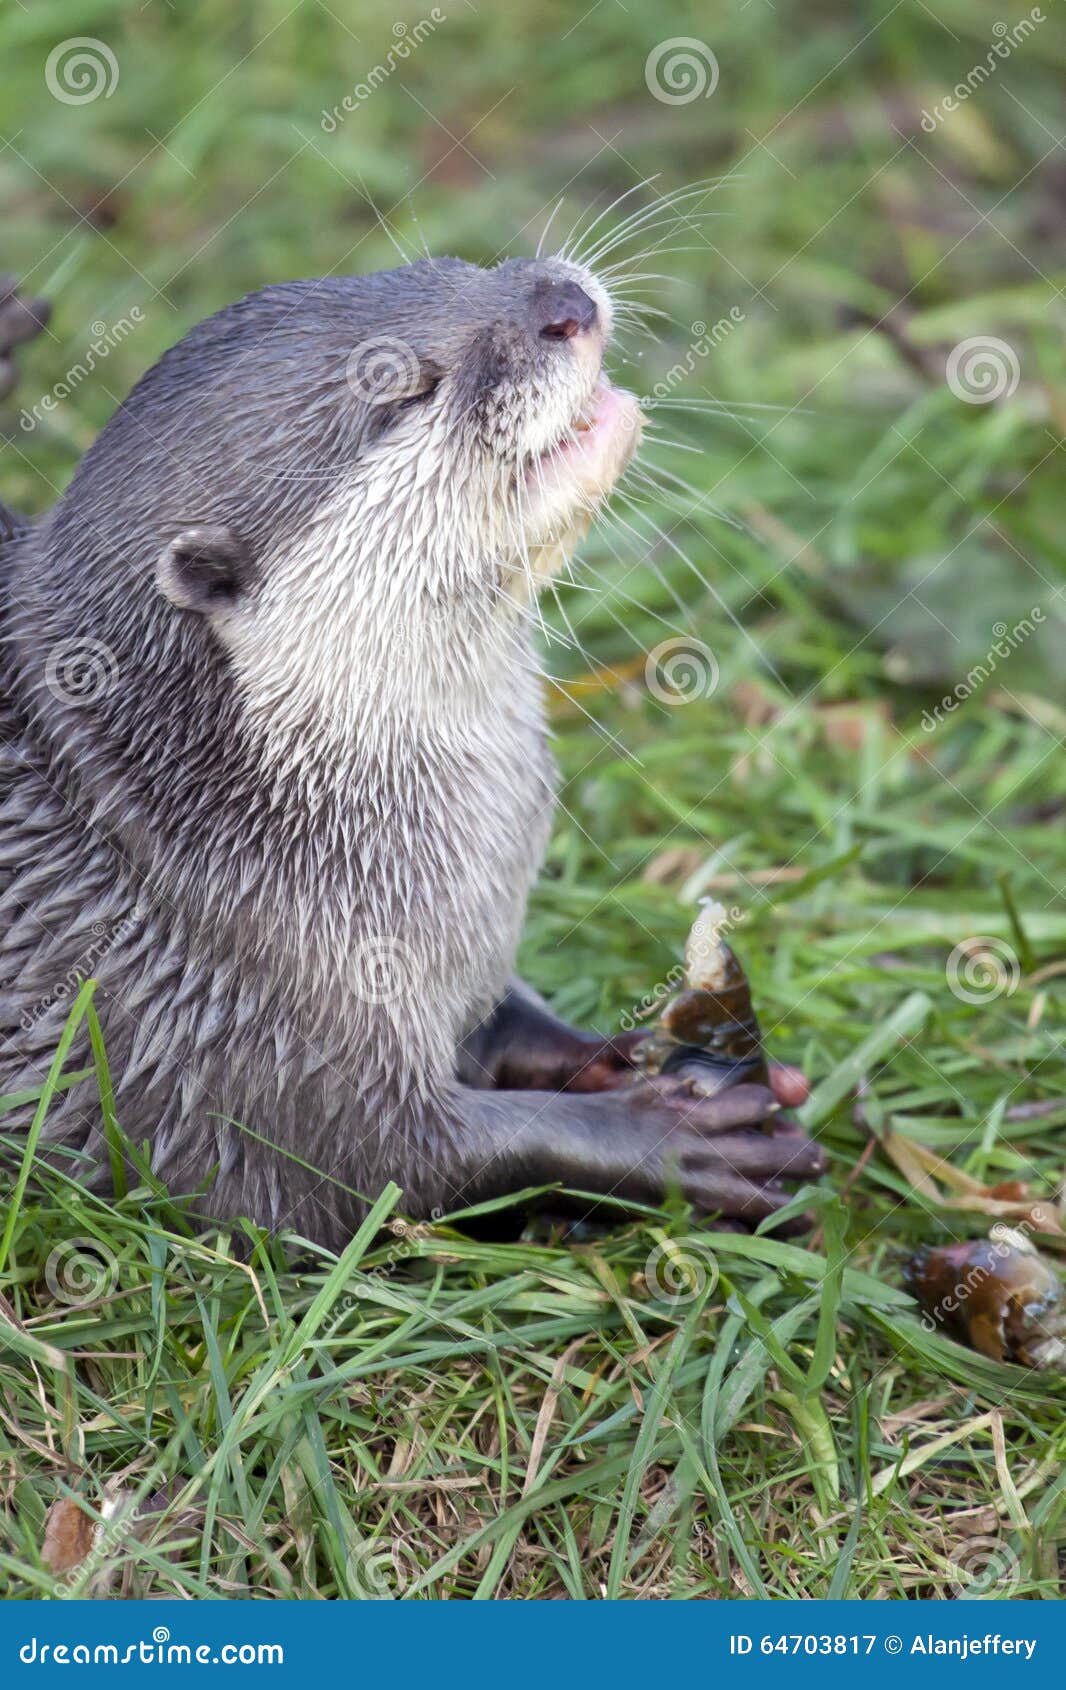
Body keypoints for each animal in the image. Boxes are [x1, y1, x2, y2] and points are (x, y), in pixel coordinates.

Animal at [0, 255, 824, 1249]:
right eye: (404, 391)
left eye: (456, 267)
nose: (564, 305)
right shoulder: (200, 1031)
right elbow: (377, 1171)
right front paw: (667, 1142)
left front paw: (616, 1053)